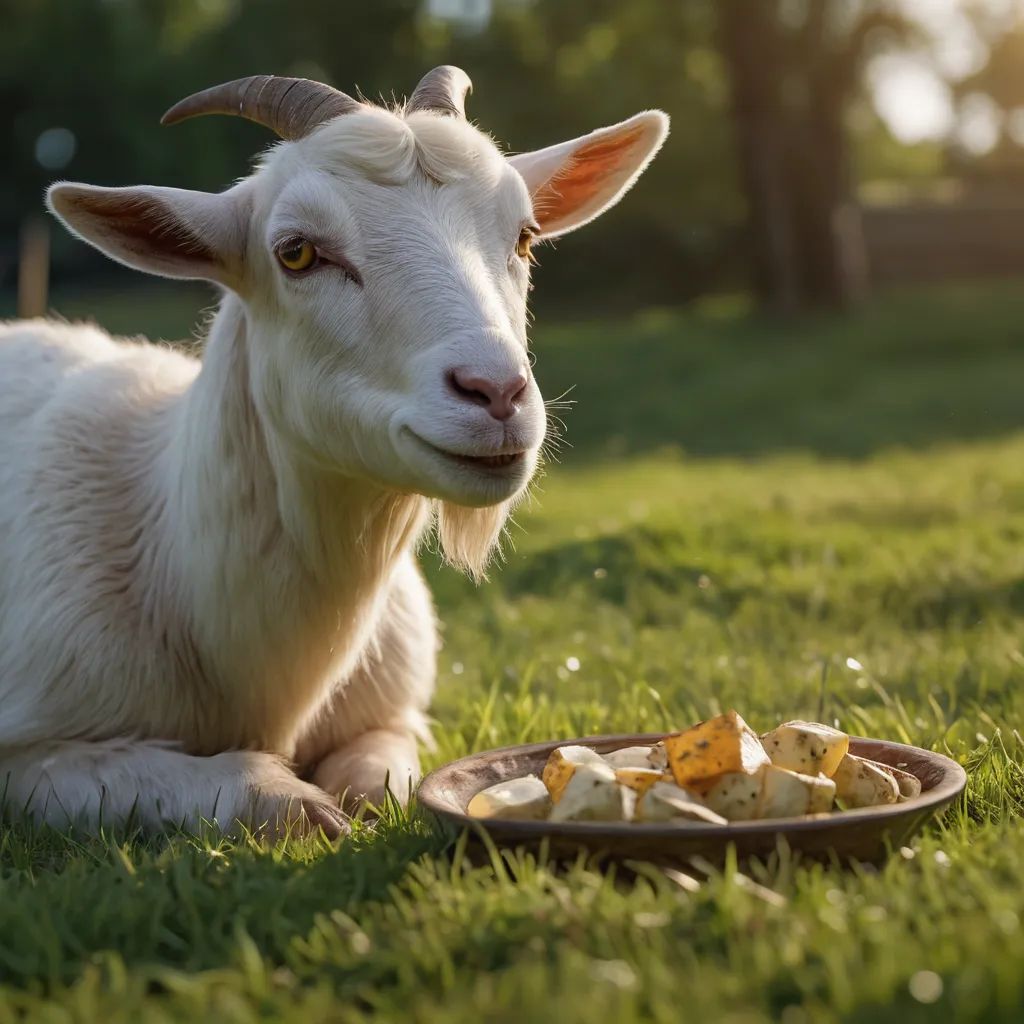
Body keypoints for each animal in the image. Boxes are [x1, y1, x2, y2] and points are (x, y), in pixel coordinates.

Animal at [0, 68, 668, 838]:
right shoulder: (29, 753)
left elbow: (383, 781)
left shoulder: (396, 715)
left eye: (526, 238)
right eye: (296, 252)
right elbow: (251, 789)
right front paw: (303, 805)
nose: (497, 392)